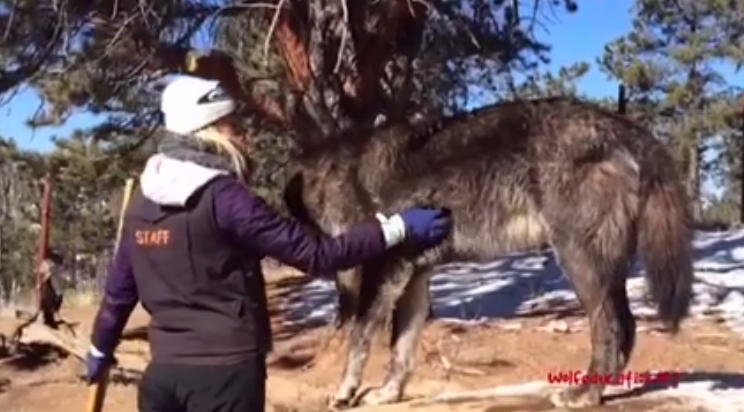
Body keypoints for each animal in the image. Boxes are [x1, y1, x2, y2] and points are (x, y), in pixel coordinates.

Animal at [282, 97, 693, 409]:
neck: (341, 175)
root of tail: (622, 124)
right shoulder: (414, 278)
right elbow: (401, 345)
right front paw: (388, 393)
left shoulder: (385, 272)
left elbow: (359, 336)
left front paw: (344, 391)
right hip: (604, 269)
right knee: (627, 327)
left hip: (580, 263)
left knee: (611, 327)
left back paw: (585, 394)